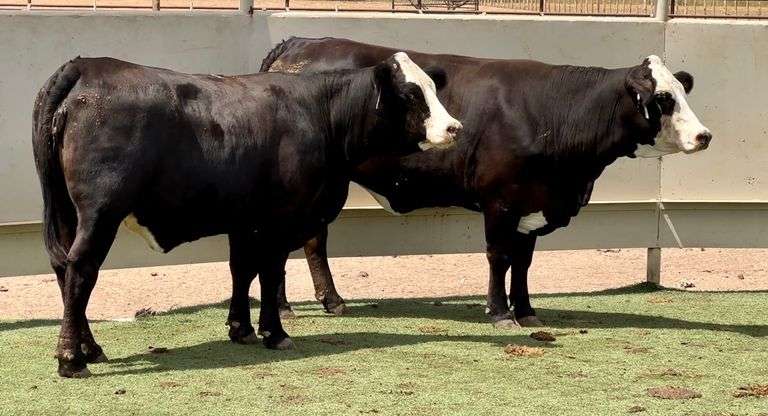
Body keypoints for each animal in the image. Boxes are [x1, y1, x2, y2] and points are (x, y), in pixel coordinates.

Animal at [32, 53, 461, 378]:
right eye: (410, 92)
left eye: (432, 87)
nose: (454, 127)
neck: (319, 112)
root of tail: (86, 66)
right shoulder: (282, 218)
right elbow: (271, 273)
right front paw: (275, 332)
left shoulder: (244, 220)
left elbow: (242, 269)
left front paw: (241, 328)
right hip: (100, 212)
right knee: (81, 270)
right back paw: (71, 359)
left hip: (68, 212)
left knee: (64, 269)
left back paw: (90, 348)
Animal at [262, 37, 712, 328]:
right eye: (662, 99)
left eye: (681, 92)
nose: (704, 135)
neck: (551, 112)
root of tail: (299, 44)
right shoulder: (501, 202)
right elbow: (499, 256)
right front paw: (499, 313)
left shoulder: (533, 204)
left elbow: (523, 261)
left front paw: (526, 310)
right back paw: (284, 308)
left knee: (313, 239)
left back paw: (332, 302)